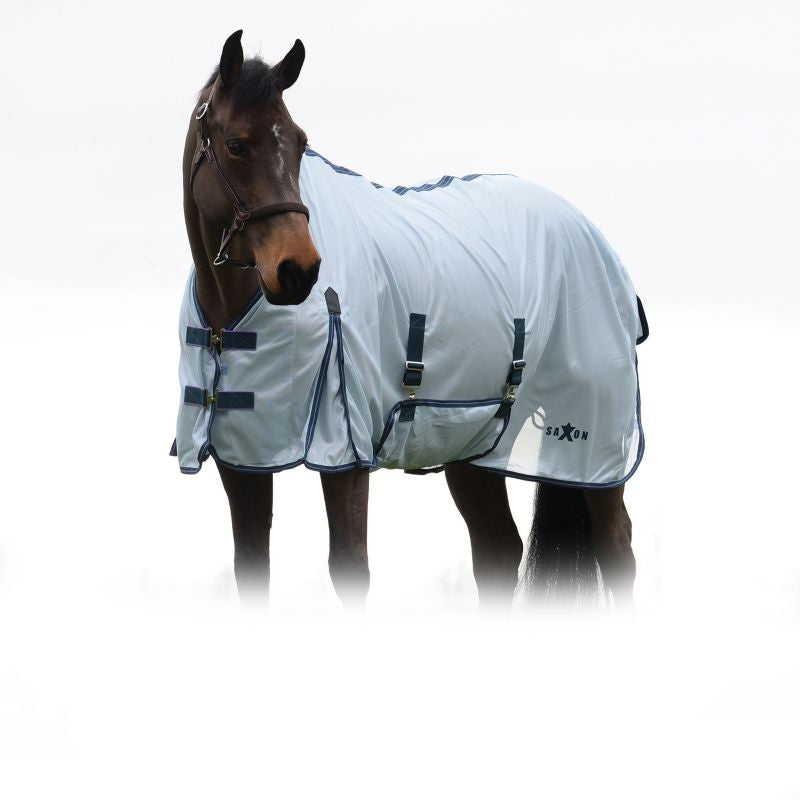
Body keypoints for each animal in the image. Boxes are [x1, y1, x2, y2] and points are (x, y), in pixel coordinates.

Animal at [173, 30, 645, 609]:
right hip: (475, 447)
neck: (232, 314)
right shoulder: (242, 457)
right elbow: (252, 570)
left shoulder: (346, 450)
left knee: (615, 548)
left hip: (594, 447)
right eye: (237, 144)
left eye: (301, 143)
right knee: (497, 549)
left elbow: (349, 568)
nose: (299, 270)